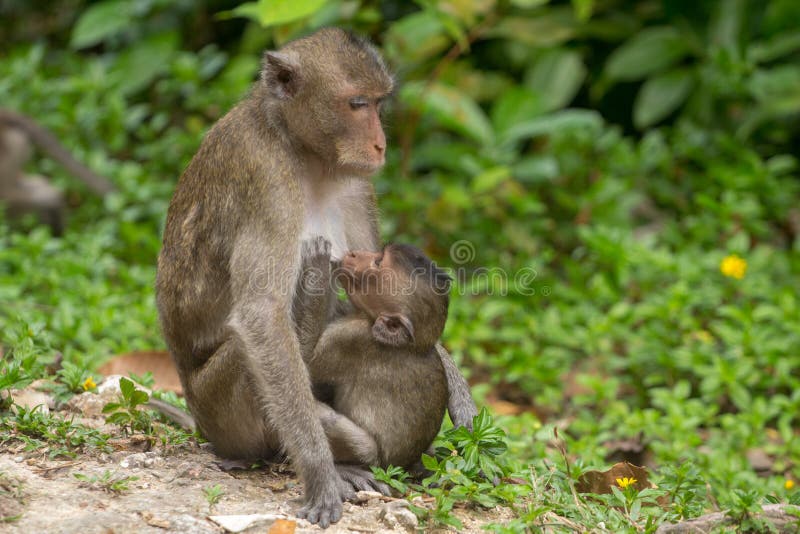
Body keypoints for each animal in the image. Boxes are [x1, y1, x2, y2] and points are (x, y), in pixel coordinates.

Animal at [295, 237, 450, 470]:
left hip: (371, 456)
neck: (413, 346)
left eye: (377, 263)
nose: (353, 253)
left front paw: (318, 264)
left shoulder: (351, 338)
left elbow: (305, 364)